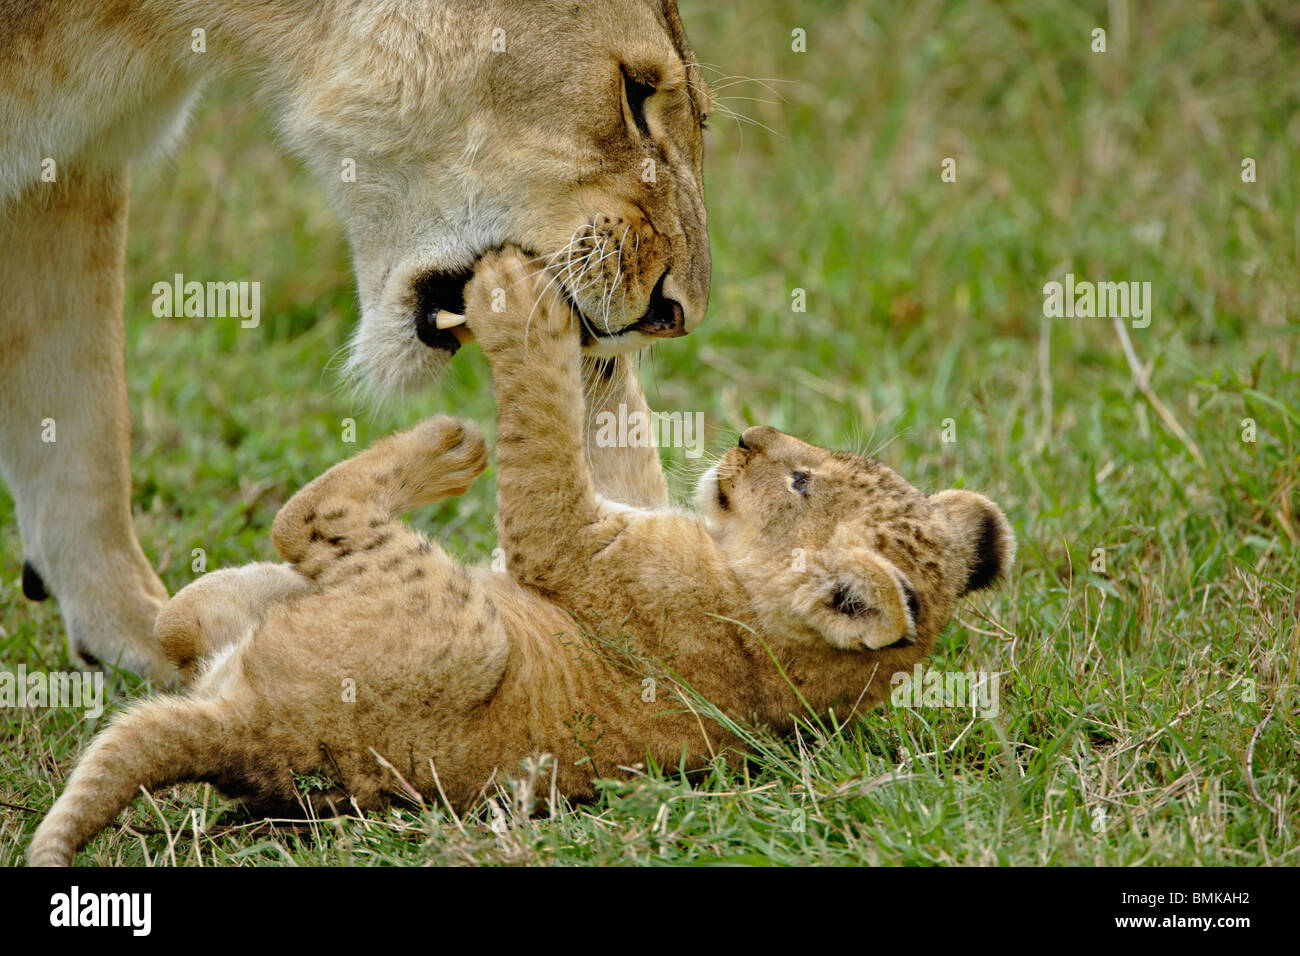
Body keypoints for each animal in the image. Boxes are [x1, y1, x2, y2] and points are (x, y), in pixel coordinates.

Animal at [27, 248, 1014, 866]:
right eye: (822, 463)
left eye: (801, 481)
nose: (748, 438)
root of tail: (257, 732)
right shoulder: (622, 512)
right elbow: (607, 428)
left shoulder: (570, 541)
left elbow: (541, 433)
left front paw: (517, 301)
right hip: (255, 610)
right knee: (182, 621)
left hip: (466, 633)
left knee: (306, 519)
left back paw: (449, 445)